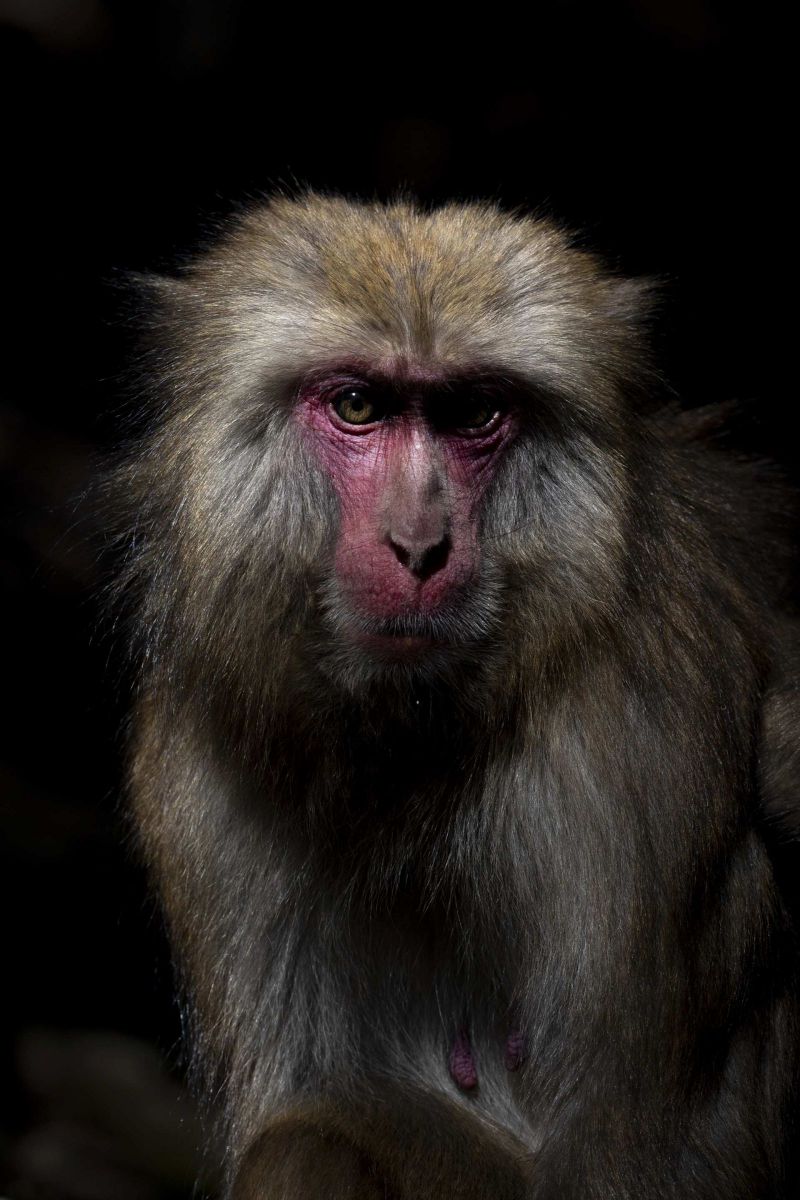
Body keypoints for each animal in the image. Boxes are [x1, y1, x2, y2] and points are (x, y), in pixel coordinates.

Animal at [111, 194, 800, 1198]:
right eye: (358, 405)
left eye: (475, 412)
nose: (419, 547)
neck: (421, 737)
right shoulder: (204, 777)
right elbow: (318, 1102)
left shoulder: (631, 760)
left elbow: (627, 1157)